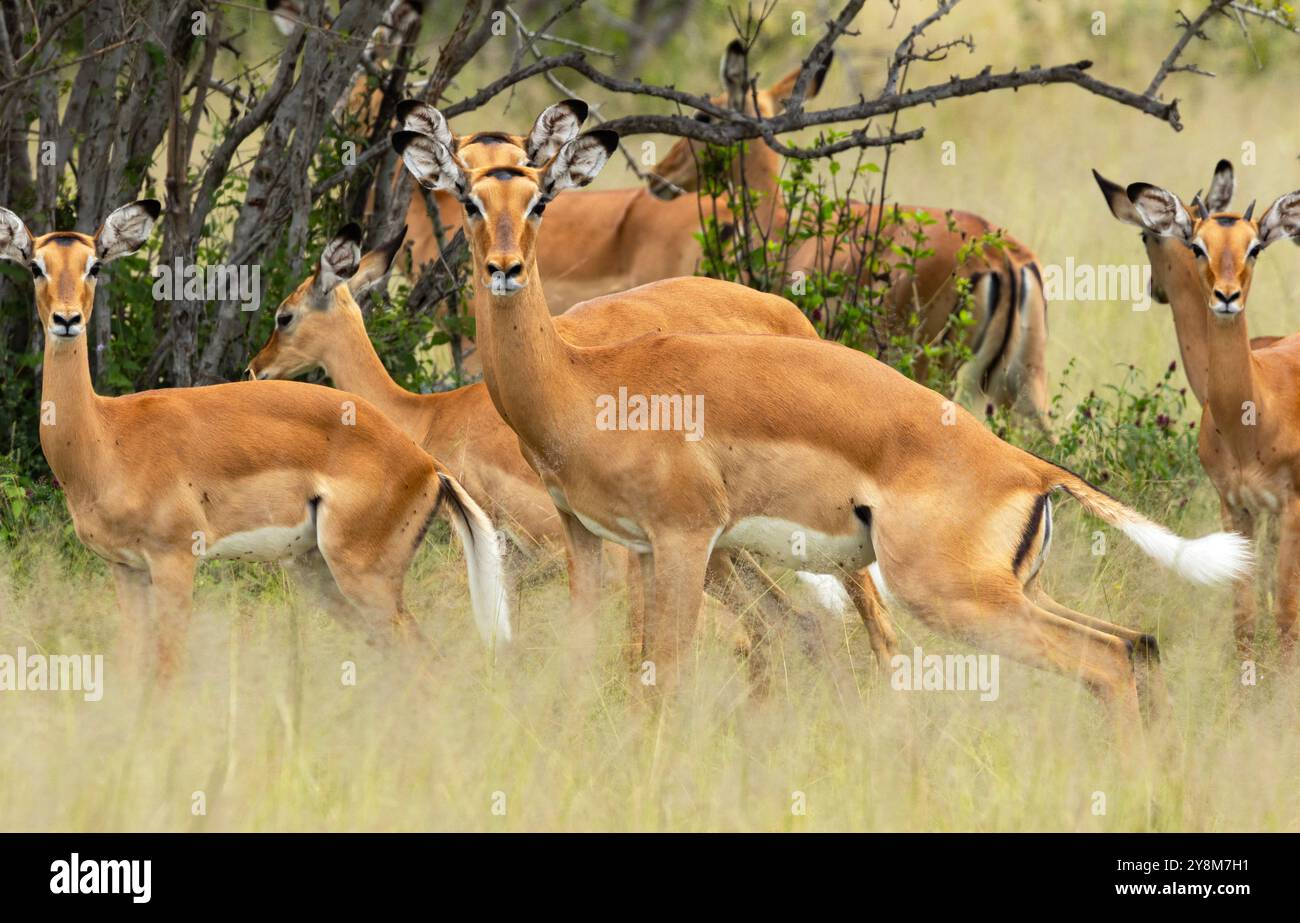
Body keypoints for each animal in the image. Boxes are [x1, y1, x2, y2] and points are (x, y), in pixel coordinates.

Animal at [0, 201, 510, 674]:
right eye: (36, 265)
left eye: (95, 265)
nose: (67, 320)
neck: (106, 438)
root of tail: (428, 466)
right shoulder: (125, 568)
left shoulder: (174, 561)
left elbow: (167, 670)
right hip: (318, 573)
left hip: (364, 578)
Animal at [392, 108, 1252, 720]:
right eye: (468, 196)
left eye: (538, 197)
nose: (503, 269)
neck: (584, 380)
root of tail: (1028, 467)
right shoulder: (598, 539)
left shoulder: (682, 539)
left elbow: (663, 678)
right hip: (1010, 589)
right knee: (1135, 646)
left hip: (954, 596)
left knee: (1101, 661)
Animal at [1095, 178, 1300, 656]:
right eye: (1197, 245)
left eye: (1255, 247)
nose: (1226, 297)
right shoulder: (1236, 507)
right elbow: (1245, 618)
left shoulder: (1290, 508)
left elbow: (1285, 615)